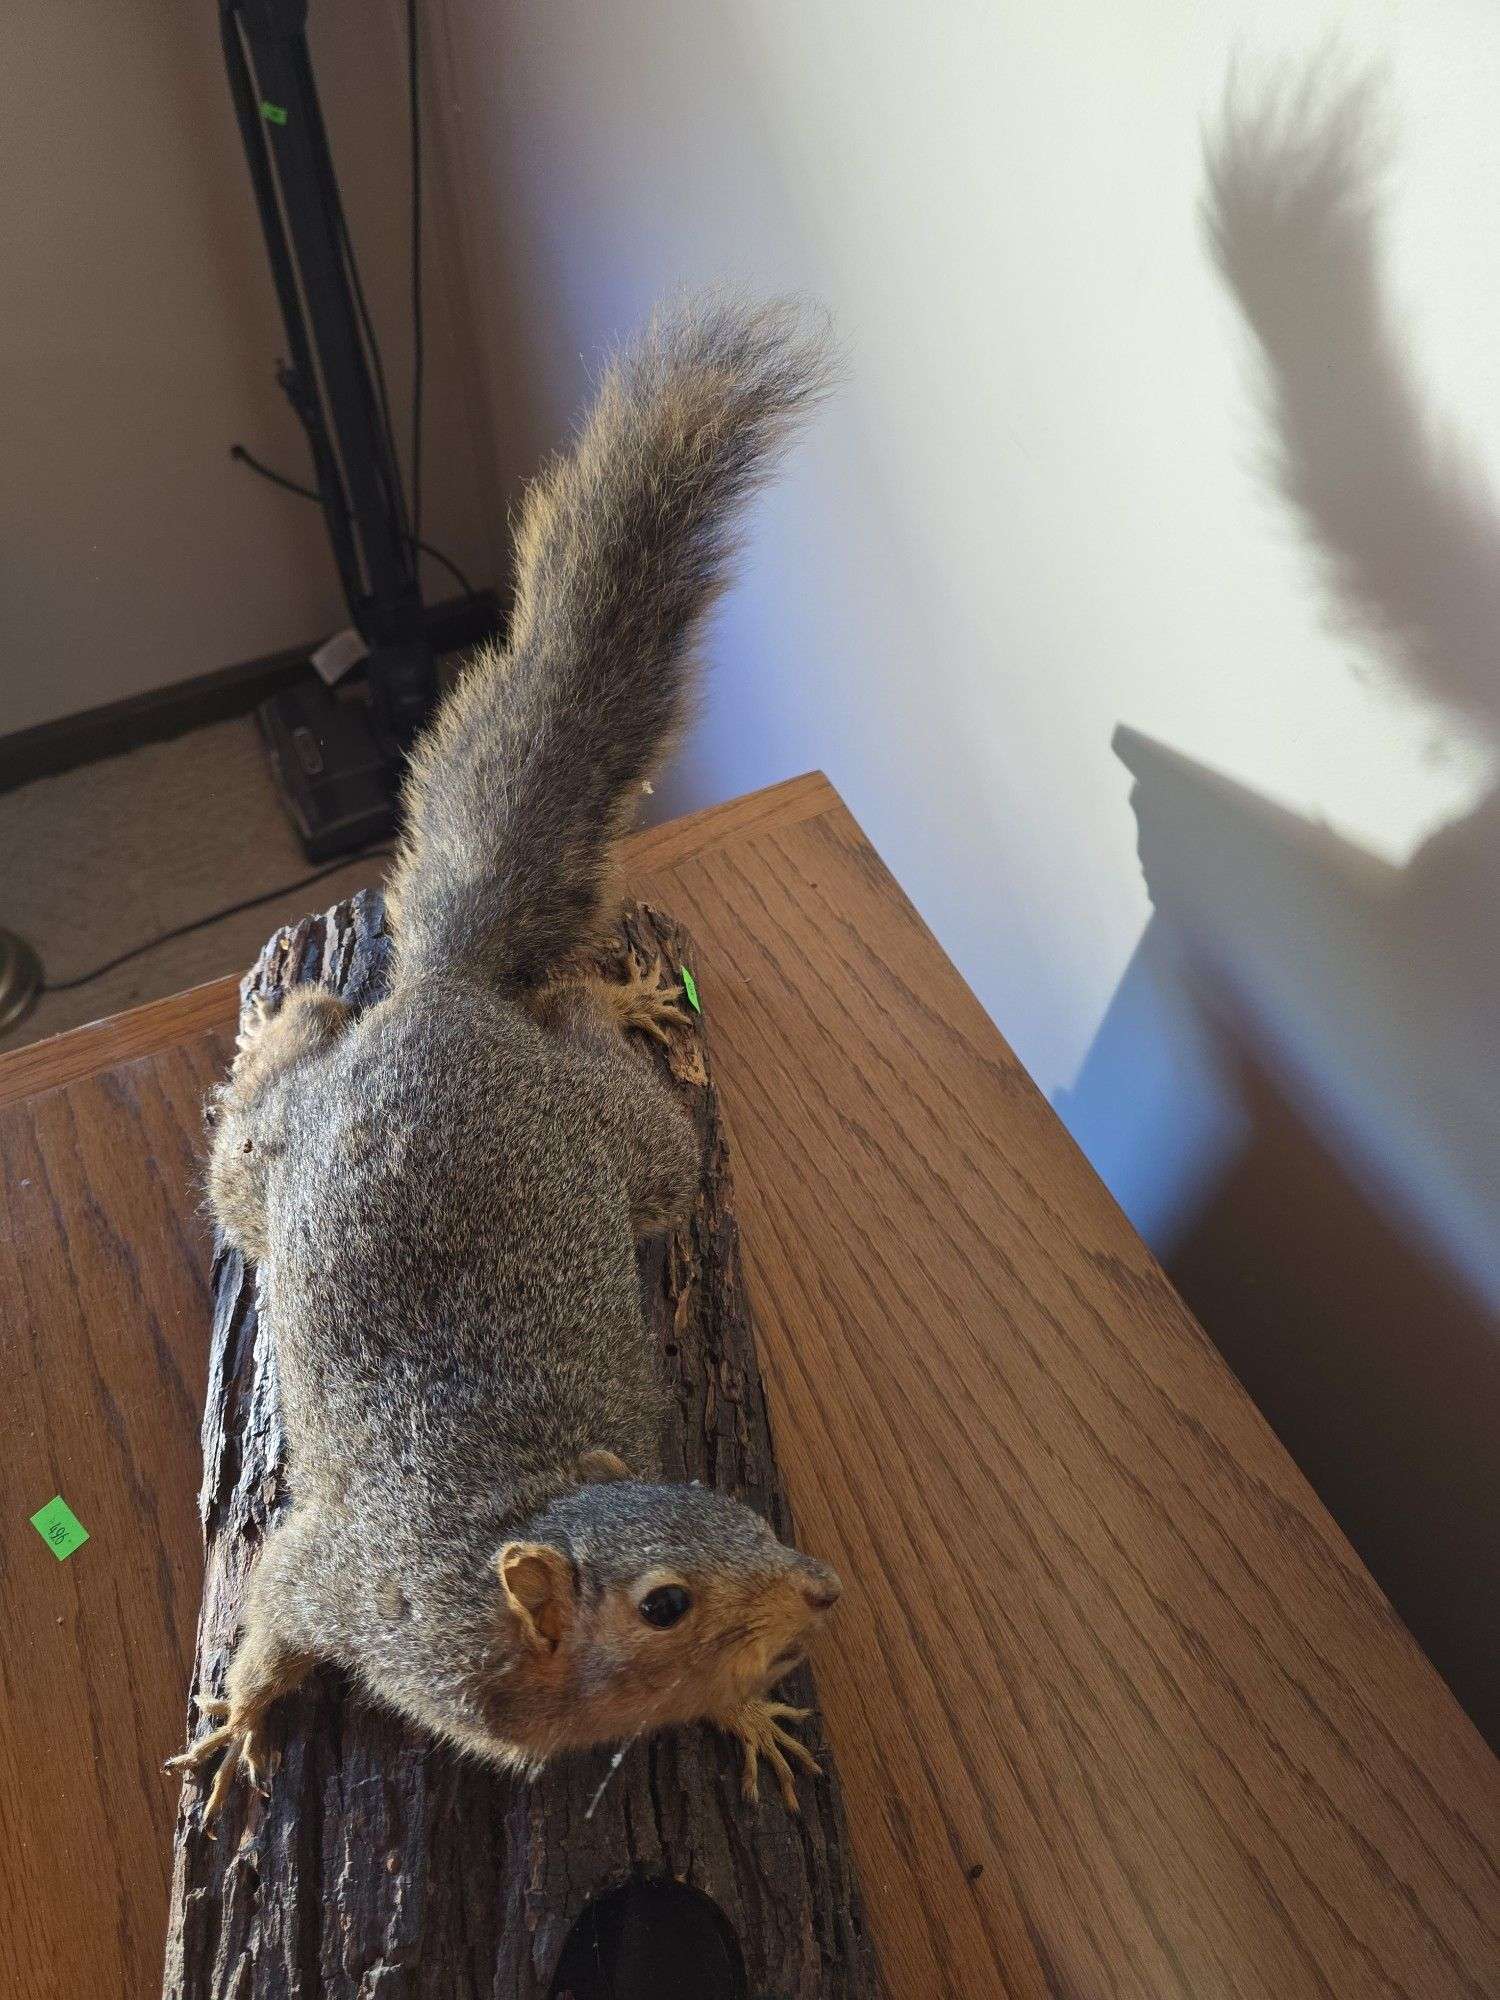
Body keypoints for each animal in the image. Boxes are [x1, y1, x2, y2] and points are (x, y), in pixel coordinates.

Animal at [167, 298, 841, 1823]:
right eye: (663, 1599)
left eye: (739, 1507)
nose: (821, 1591)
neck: (501, 1534)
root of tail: (445, 1003)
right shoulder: (345, 1583)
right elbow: (273, 1619)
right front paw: (240, 1720)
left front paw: (749, 1713)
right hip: (325, 1166)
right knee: (287, 1103)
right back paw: (297, 1015)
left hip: (627, 1154)